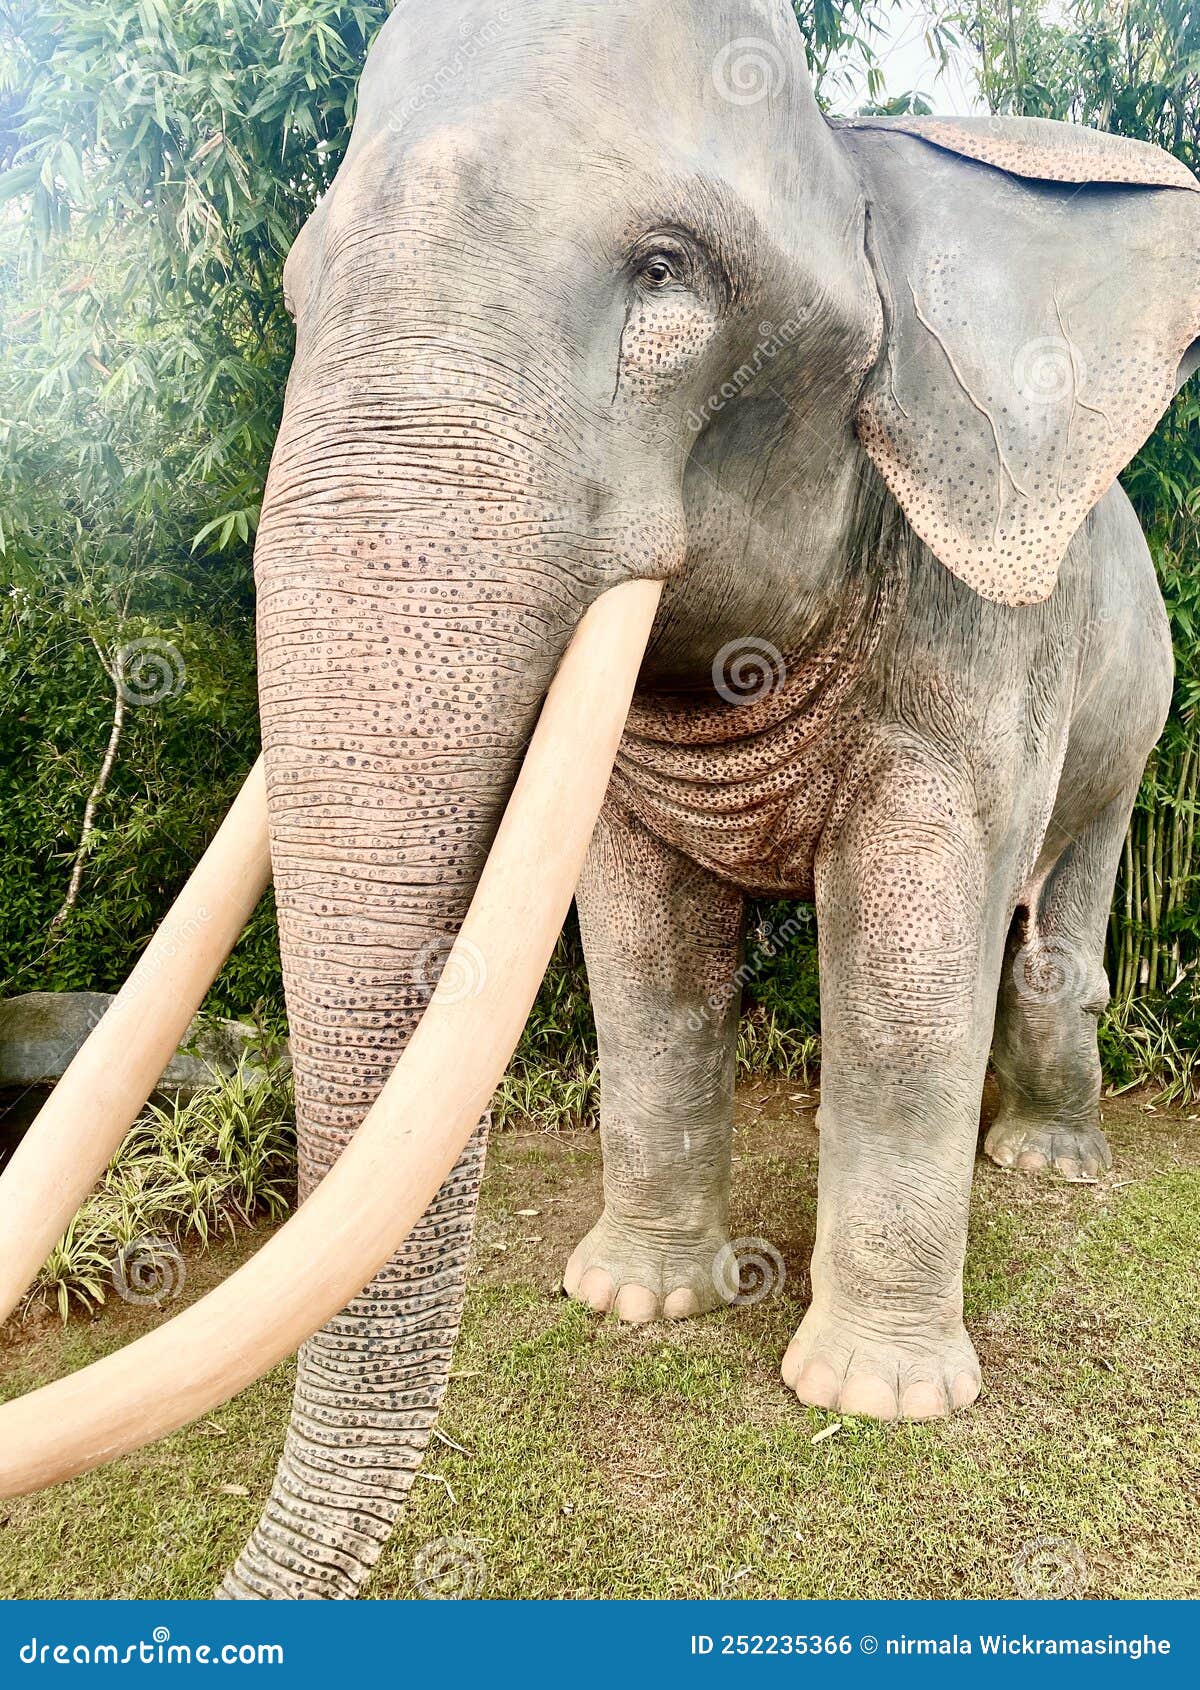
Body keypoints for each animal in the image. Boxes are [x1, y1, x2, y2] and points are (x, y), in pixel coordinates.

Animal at [1, 0, 1199, 1602]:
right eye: (297, 290)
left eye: (668, 271)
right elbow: (641, 959)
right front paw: (638, 1303)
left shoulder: (974, 640)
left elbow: (903, 962)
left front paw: (872, 1397)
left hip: (1134, 714)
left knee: (1058, 928)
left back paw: (1045, 1161)